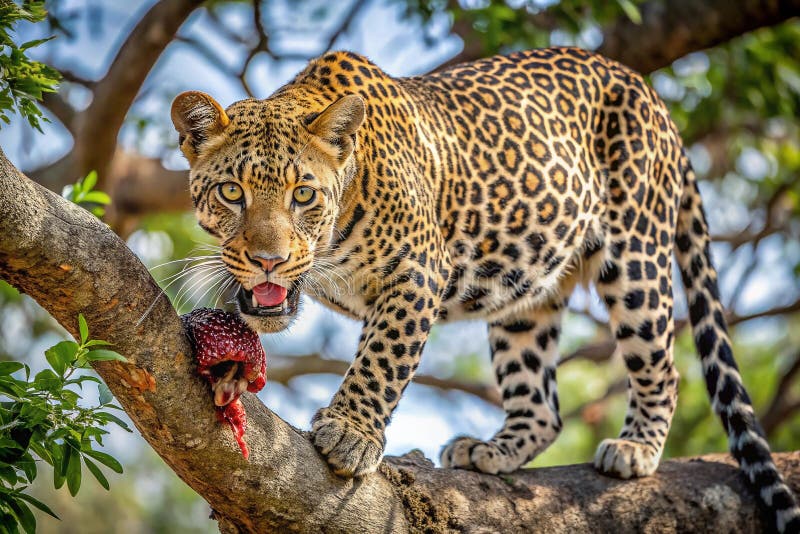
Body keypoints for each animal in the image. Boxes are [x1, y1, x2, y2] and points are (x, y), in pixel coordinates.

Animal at [171, 47, 799, 531]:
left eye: (304, 194)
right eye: (232, 192)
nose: (269, 261)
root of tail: (650, 93)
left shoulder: (417, 269)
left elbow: (383, 359)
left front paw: (351, 433)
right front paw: (230, 372)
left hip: (637, 258)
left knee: (662, 366)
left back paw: (635, 448)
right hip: (528, 297)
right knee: (542, 404)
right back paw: (491, 452)